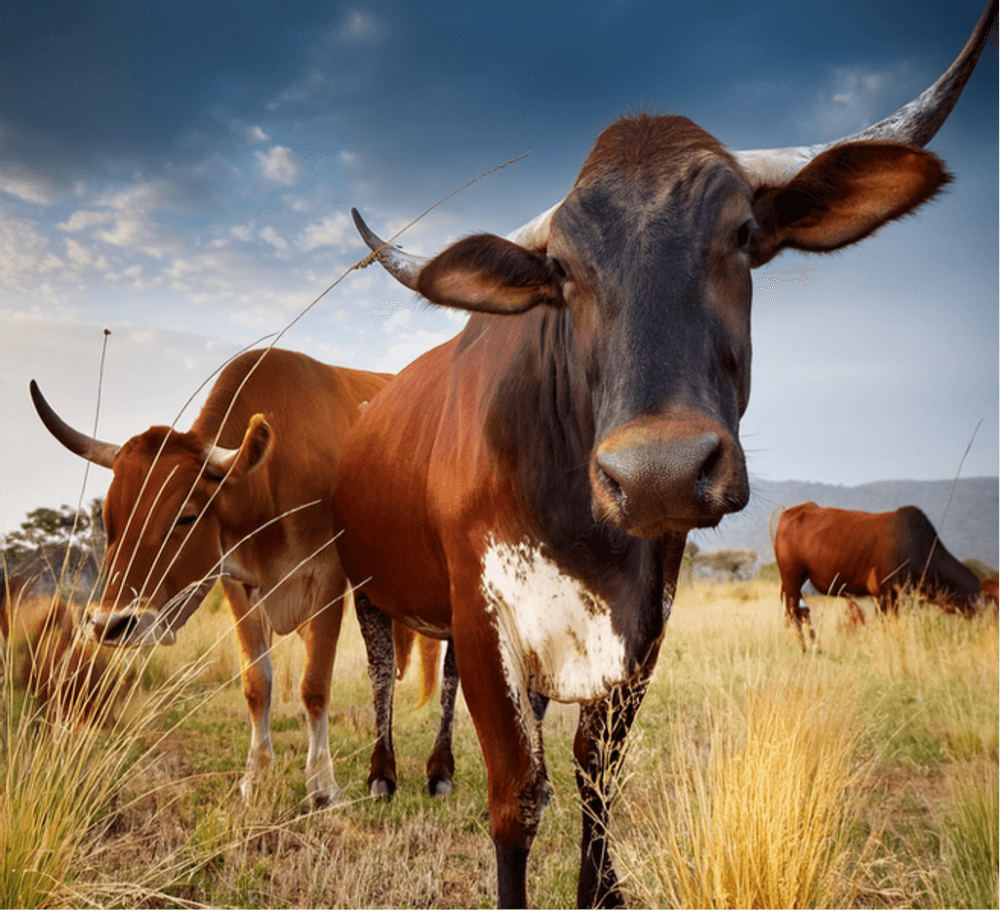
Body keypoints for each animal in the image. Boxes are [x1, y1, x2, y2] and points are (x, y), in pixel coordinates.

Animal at [30, 347, 459, 806]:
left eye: (186, 517)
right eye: (109, 519)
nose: (110, 624)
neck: (271, 479)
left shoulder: (328, 580)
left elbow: (314, 685)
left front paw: (322, 785)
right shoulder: (237, 584)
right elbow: (258, 684)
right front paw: (257, 776)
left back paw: (435, 770)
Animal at [774, 502, 995, 648]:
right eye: (993, 606)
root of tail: (790, 512)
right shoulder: (885, 595)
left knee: (802, 612)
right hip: (791, 577)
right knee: (795, 613)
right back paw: (807, 648)